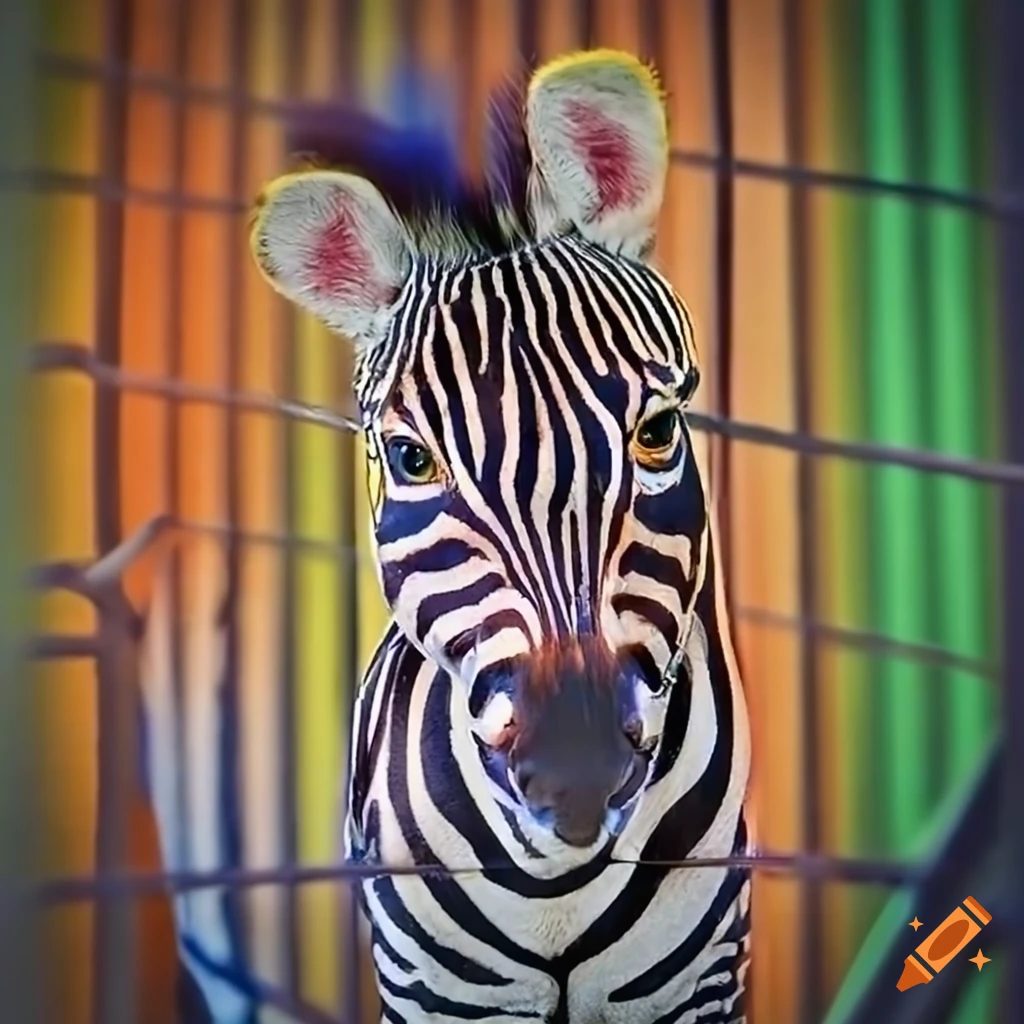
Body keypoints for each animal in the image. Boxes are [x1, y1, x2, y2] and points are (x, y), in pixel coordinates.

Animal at [251, 48, 751, 1024]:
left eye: (658, 431)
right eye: (410, 459)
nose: (575, 773)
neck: (561, 881)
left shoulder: (703, 979)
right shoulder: (432, 990)